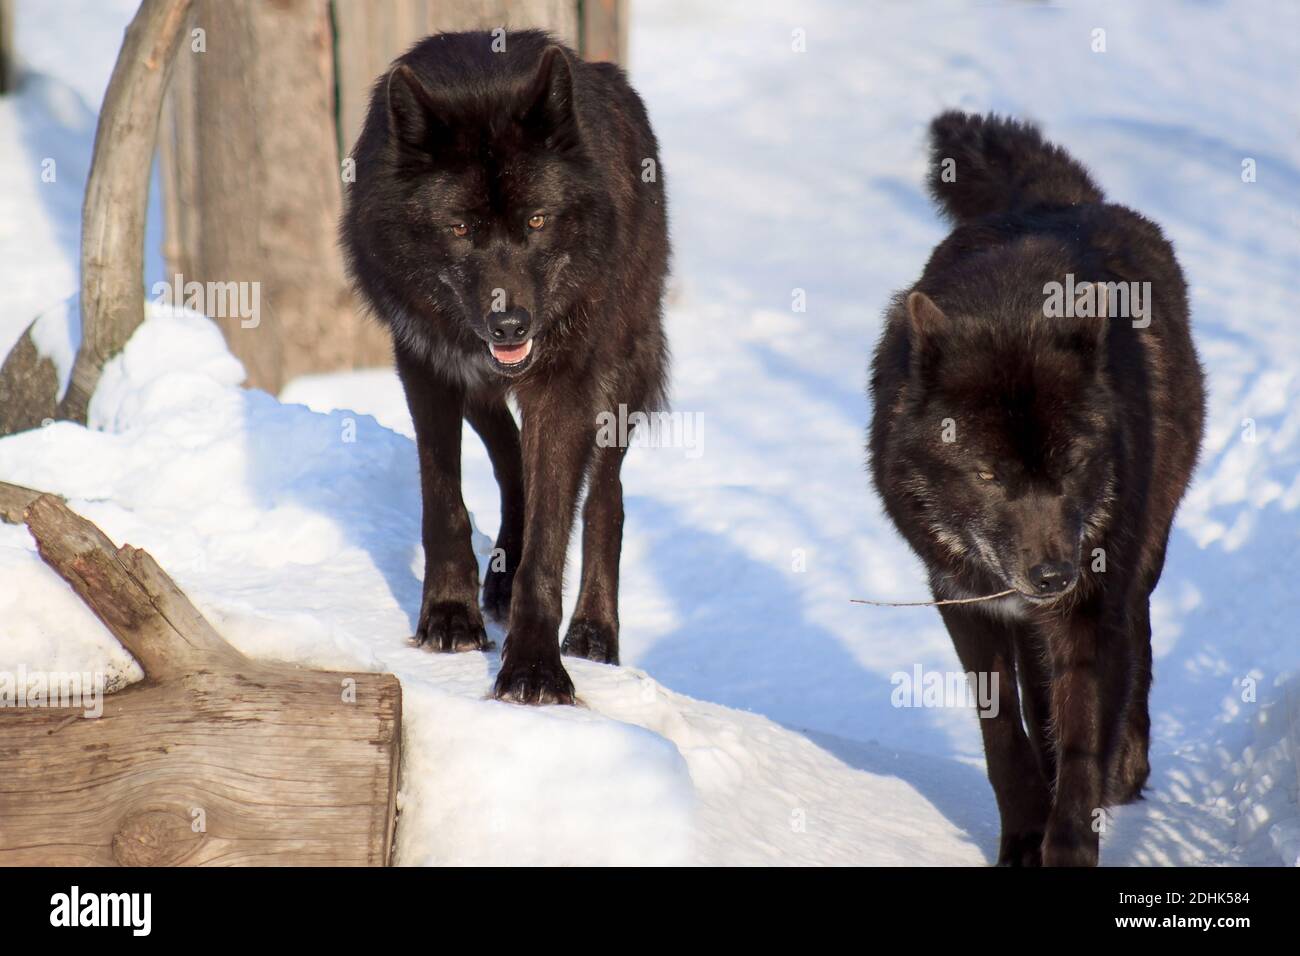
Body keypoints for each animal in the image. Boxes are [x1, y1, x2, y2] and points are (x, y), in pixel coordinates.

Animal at [341, 31, 669, 704]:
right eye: (460, 228)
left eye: (537, 221)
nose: (511, 325)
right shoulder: (426, 363)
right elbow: (443, 503)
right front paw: (449, 614)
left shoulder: (565, 385)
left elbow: (550, 540)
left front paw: (535, 668)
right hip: (482, 385)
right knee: (513, 457)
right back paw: (499, 573)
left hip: (620, 368)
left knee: (605, 498)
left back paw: (594, 631)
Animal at [869, 111, 1205, 865]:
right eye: (988, 474)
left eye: (1072, 462)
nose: (1053, 575)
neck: (1014, 306)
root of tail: (1060, 198)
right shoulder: (962, 598)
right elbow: (1004, 736)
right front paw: (1025, 836)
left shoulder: (1089, 602)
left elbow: (1082, 743)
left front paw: (1071, 841)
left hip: (1140, 552)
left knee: (1137, 640)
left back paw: (1129, 767)